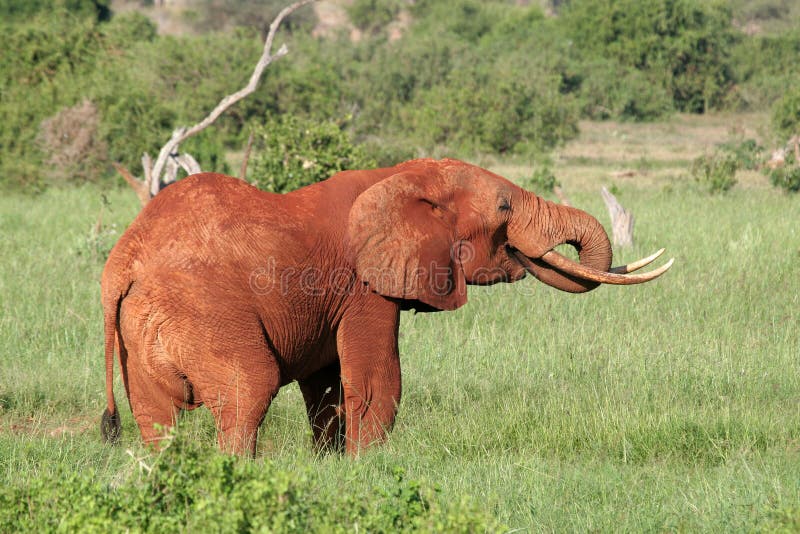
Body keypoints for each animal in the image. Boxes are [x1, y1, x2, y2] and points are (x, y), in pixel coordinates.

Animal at [100, 158, 671, 456]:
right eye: (505, 206)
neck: (405, 174)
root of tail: (121, 265)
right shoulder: (363, 286)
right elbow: (377, 381)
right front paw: (365, 468)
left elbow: (328, 386)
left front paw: (332, 466)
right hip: (201, 311)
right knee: (248, 389)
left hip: (141, 326)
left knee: (156, 418)